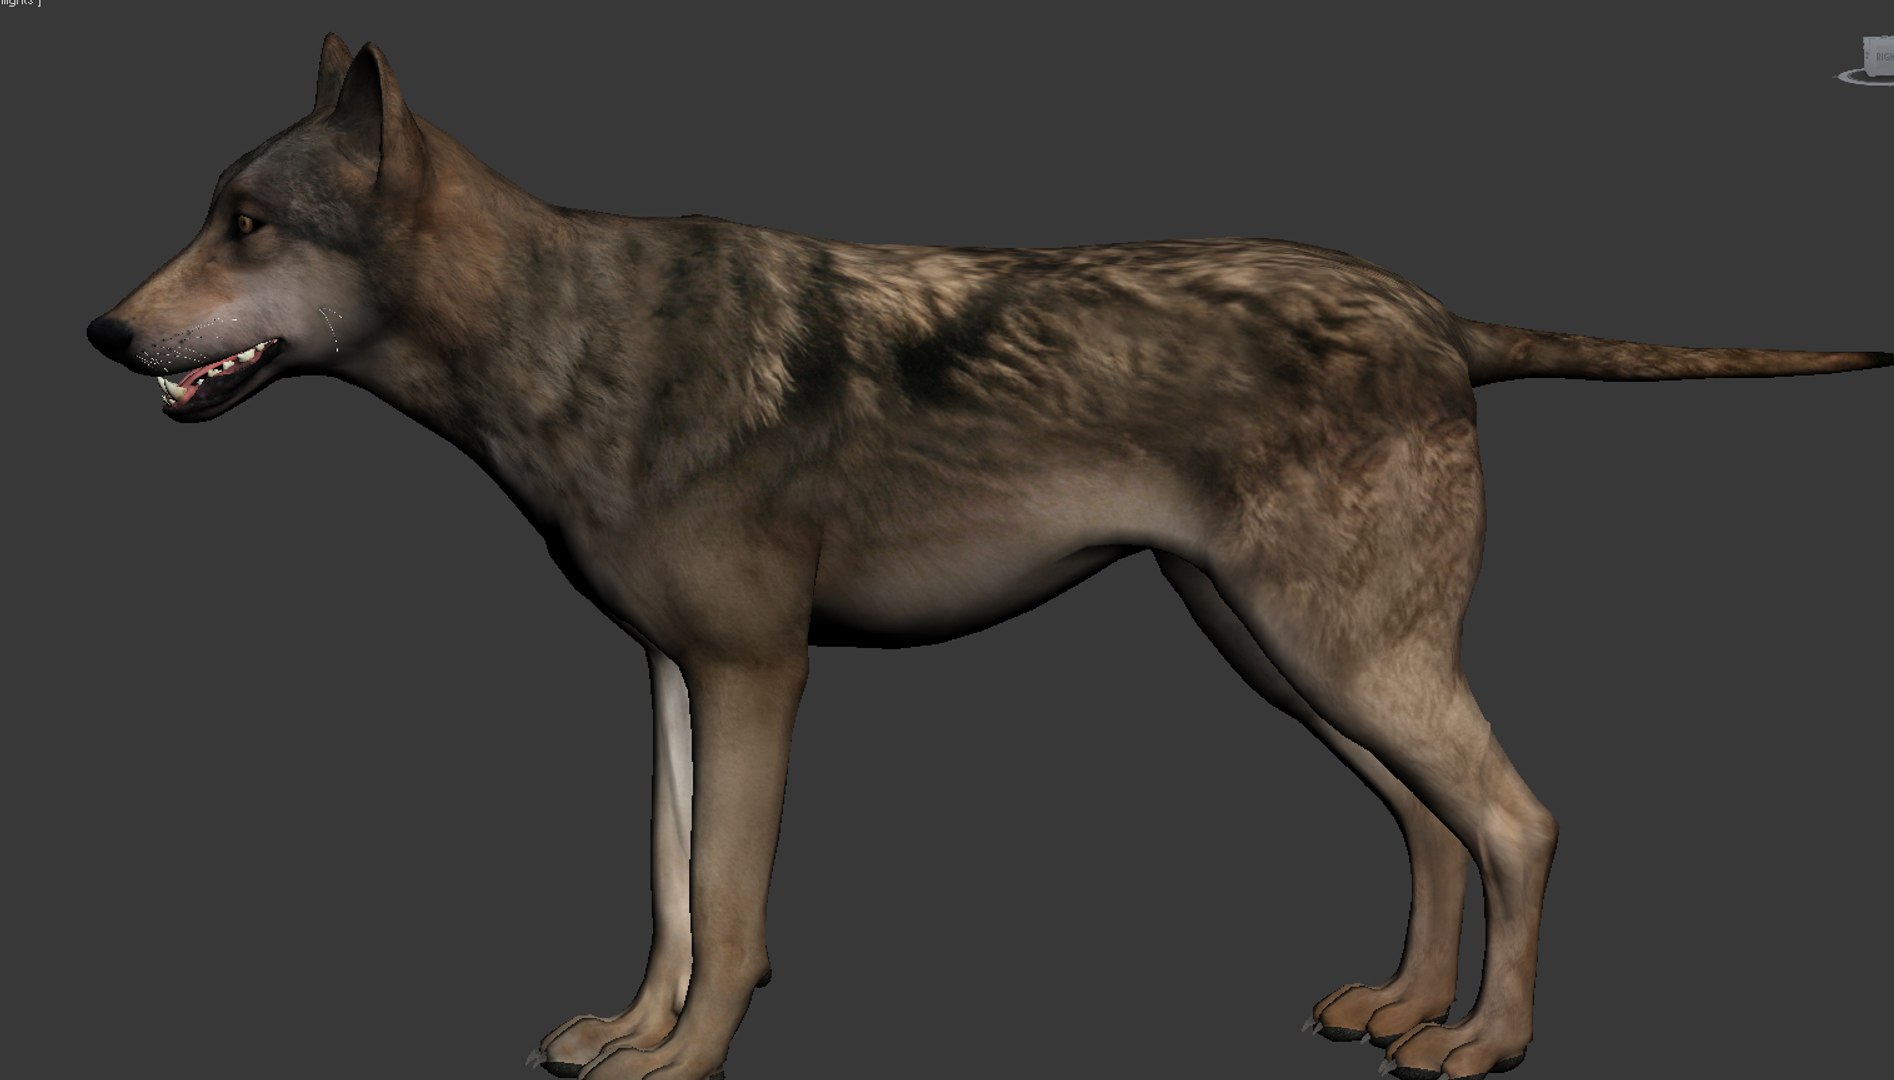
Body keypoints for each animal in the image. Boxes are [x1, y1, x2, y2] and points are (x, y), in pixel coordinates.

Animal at [85, 34, 1889, 1080]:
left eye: (251, 225)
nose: (100, 332)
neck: (559, 338)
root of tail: (1441, 315)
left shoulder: (760, 672)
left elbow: (726, 900)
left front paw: (690, 1060)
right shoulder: (670, 674)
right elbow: (663, 888)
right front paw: (630, 1032)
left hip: (1339, 655)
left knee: (1515, 818)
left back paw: (1484, 1044)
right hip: (1286, 660)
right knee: (1429, 825)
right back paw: (1399, 1012)